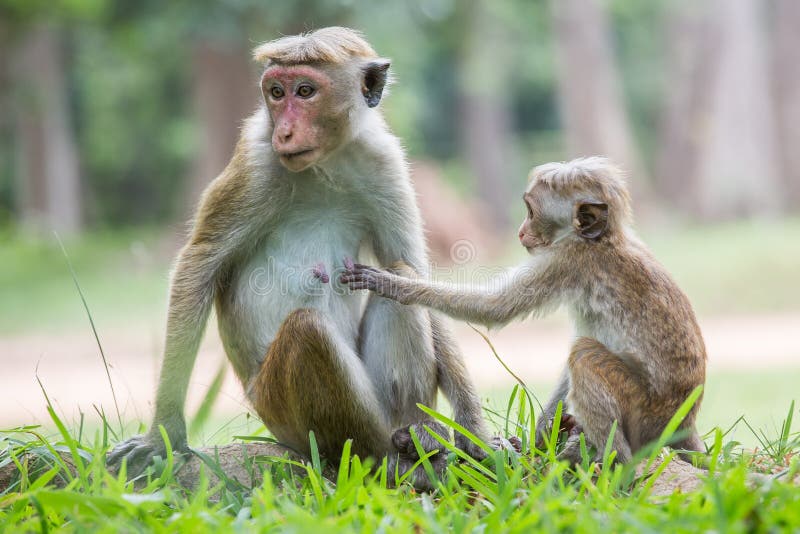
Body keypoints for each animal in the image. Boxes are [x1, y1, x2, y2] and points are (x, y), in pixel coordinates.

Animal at [107, 27, 491, 490]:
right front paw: (163, 433)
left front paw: (475, 433)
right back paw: (387, 457)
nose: (285, 132)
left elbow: (413, 272)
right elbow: (198, 267)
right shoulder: (255, 163)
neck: (328, 162)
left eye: (305, 91)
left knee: (394, 279)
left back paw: (420, 439)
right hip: (281, 411)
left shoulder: (384, 162)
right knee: (307, 330)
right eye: (276, 93)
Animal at [341, 156, 707, 465]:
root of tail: (684, 423)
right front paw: (537, 442)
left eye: (531, 211)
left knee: (585, 355)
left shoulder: (566, 261)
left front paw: (393, 284)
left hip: (645, 412)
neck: (601, 240)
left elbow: (495, 308)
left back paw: (613, 463)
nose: (520, 230)